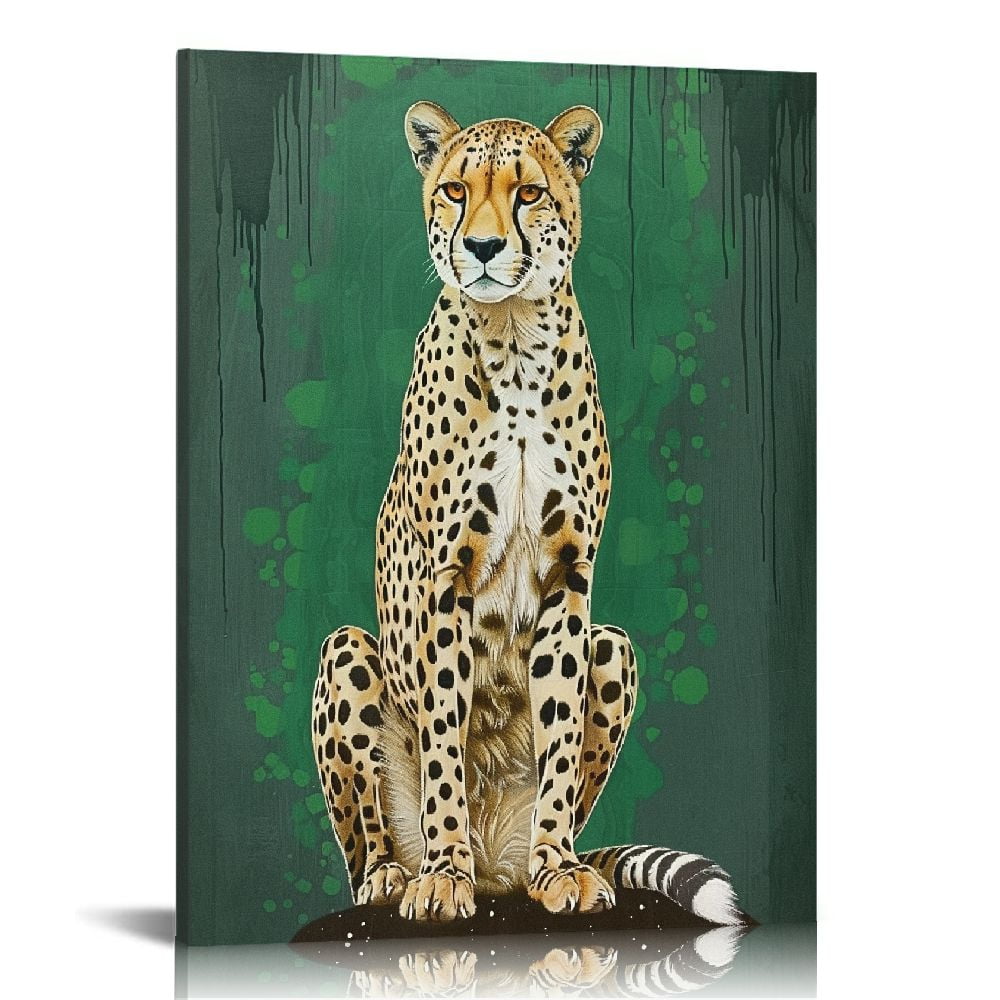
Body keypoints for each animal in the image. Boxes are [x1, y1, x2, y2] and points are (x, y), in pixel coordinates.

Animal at [311, 101, 744, 925]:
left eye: (529, 193)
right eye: (455, 190)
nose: (482, 247)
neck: (512, 336)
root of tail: (495, 871)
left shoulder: (569, 576)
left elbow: (561, 731)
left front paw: (558, 867)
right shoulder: (445, 577)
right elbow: (445, 739)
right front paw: (441, 873)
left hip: (615, 645)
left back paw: (526, 864)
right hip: (346, 649)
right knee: (363, 839)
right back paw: (396, 873)